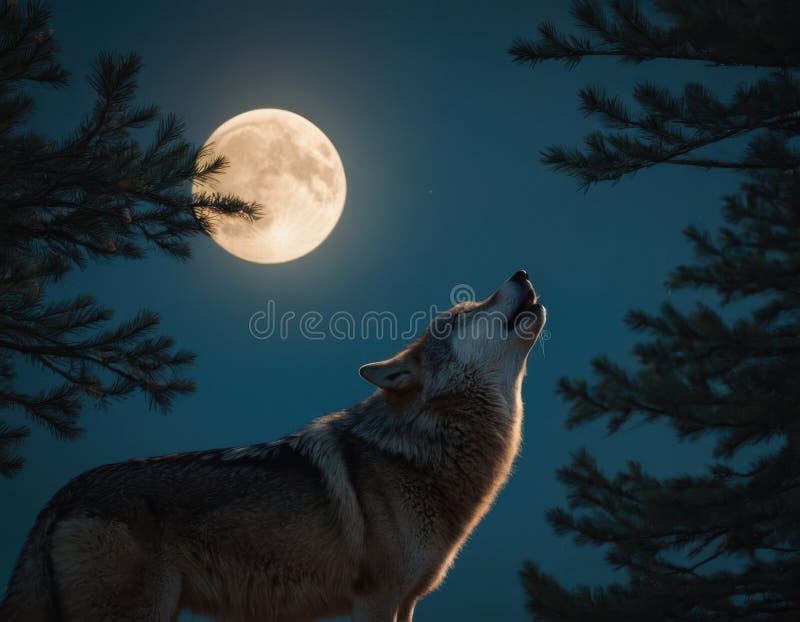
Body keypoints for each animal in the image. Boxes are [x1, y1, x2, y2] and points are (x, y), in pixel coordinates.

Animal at [1, 270, 546, 622]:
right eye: (462, 315)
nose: (520, 272)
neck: (423, 446)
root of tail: (62, 497)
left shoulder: (407, 603)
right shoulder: (375, 599)